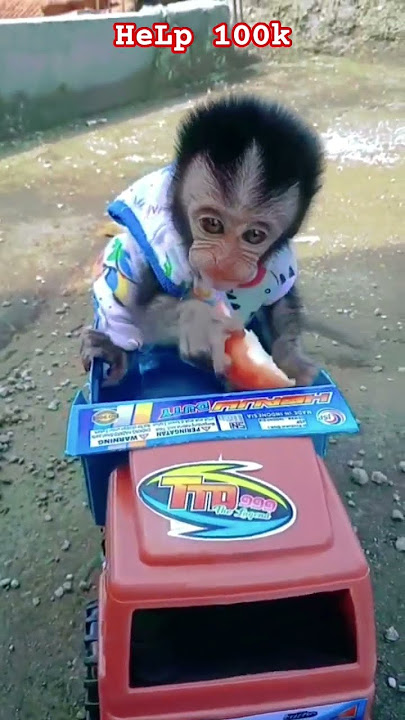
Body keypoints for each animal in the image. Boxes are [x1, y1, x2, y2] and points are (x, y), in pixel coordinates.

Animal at [81, 95, 327, 393]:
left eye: (254, 236)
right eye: (212, 224)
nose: (225, 261)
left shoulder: (281, 263)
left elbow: (281, 302)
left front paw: (290, 359)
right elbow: (145, 312)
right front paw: (199, 321)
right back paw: (114, 351)